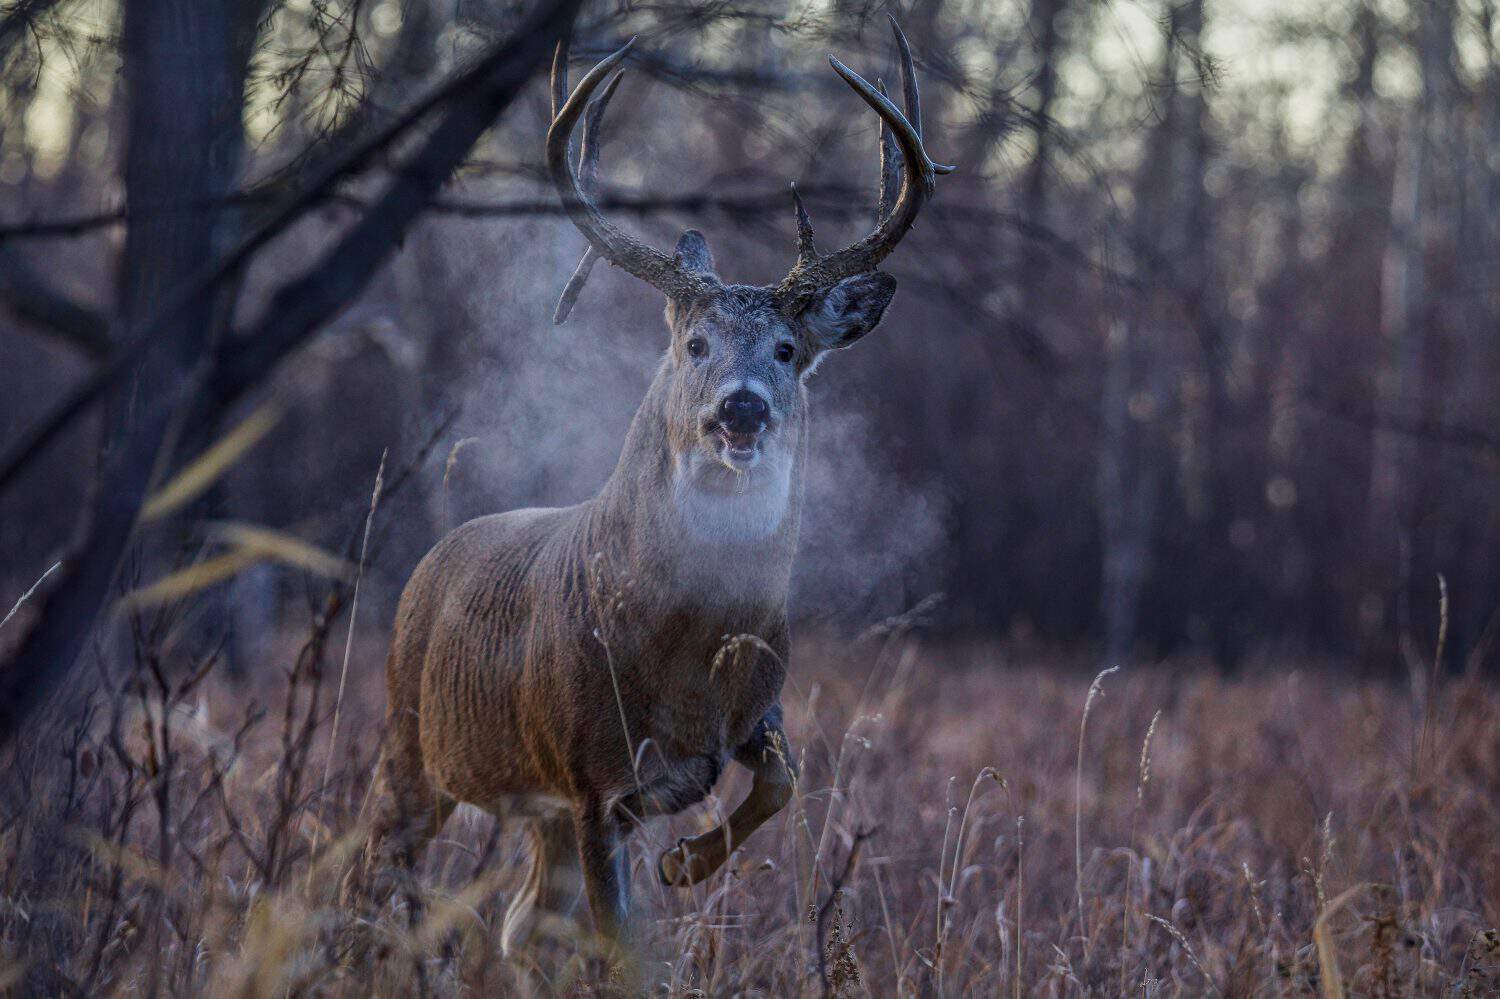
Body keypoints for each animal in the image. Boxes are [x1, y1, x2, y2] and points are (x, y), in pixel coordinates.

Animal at [352, 18, 951, 961]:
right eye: (695, 343)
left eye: (787, 349)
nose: (740, 407)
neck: (680, 650)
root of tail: (429, 563)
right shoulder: (592, 776)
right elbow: (624, 951)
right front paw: (680, 870)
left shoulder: (753, 712)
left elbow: (785, 780)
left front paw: (687, 862)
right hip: (412, 740)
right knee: (368, 873)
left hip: (533, 810)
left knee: (520, 924)